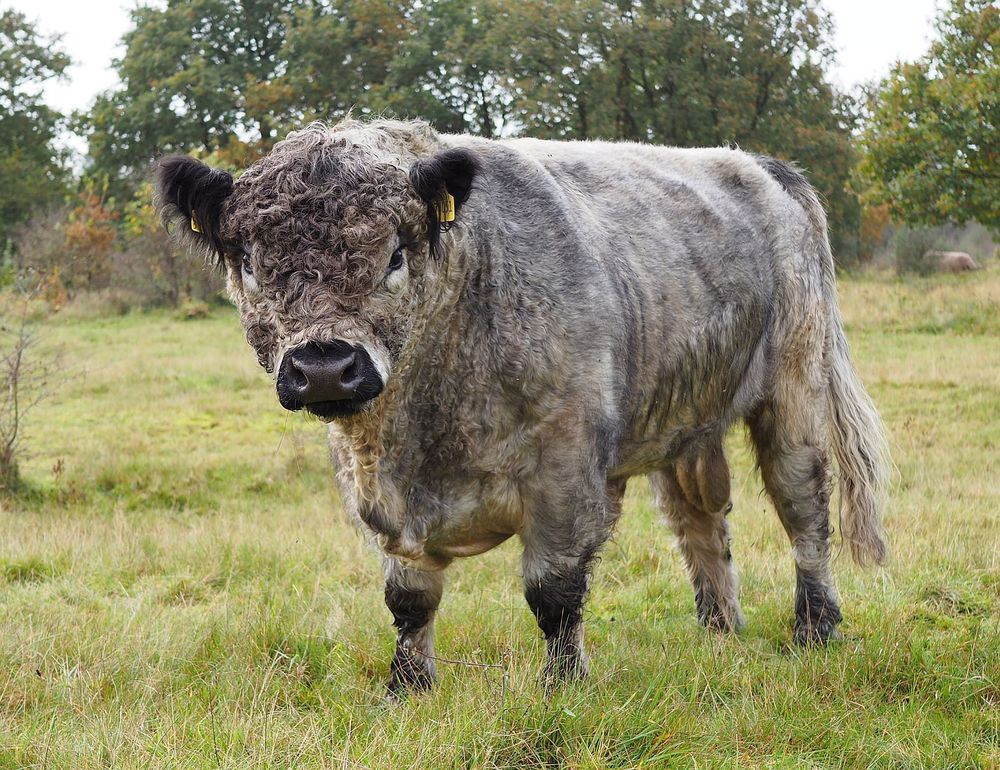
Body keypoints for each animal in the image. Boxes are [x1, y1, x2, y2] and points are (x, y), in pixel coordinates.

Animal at [154, 119, 890, 695]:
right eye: (250, 263)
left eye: (395, 253)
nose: (324, 367)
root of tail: (757, 164)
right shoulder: (374, 490)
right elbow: (409, 598)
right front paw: (408, 686)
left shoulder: (564, 473)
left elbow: (552, 592)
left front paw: (564, 685)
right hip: (682, 422)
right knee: (701, 524)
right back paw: (719, 632)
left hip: (794, 391)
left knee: (803, 511)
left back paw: (816, 627)